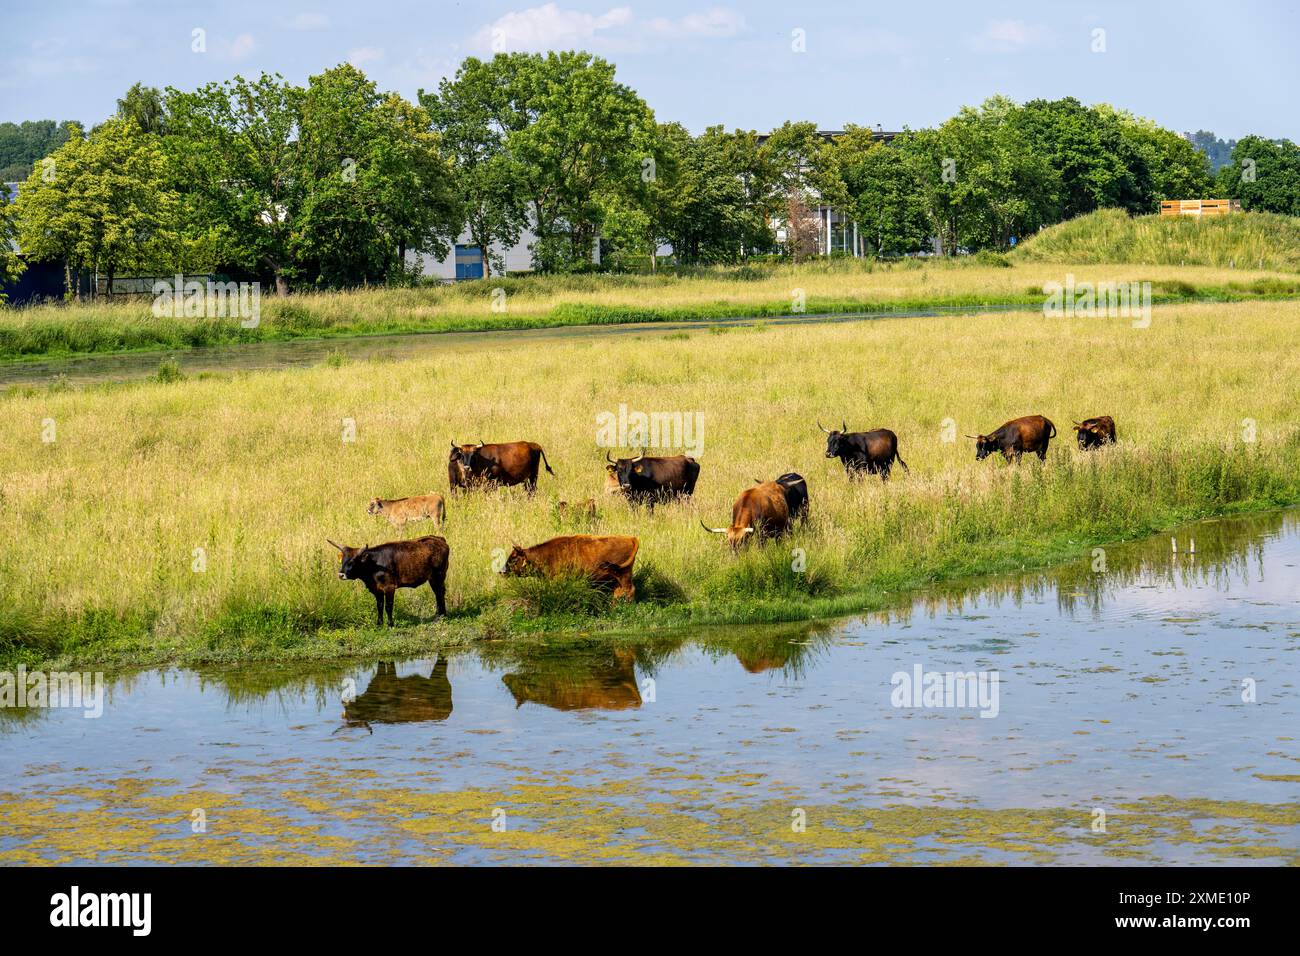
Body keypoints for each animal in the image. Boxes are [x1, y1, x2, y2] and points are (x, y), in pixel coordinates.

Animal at [500, 534, 639, 601]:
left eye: (514, 558)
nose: (502, 571)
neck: (548, 554)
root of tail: (630, 538)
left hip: (624, 575)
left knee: (629, 590)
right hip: (617, 578)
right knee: (619, 592)